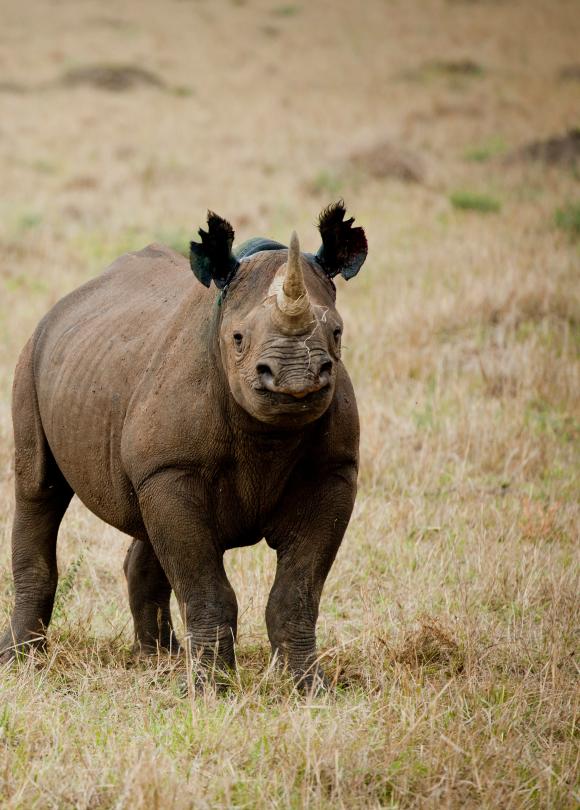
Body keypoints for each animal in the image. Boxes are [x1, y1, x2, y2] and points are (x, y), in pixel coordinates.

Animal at [0, 201, 367, 688]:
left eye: (338, 334)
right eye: (237, 339)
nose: (296, 379)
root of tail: (66, 302)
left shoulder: (333, 472)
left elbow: (297, 592)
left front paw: (309, 687)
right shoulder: (173, 468)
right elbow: (206, 587)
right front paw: (210, 688)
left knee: (143, 521)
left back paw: (158, 658)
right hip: (31, 359)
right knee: (38, 490)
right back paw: (21, 661)